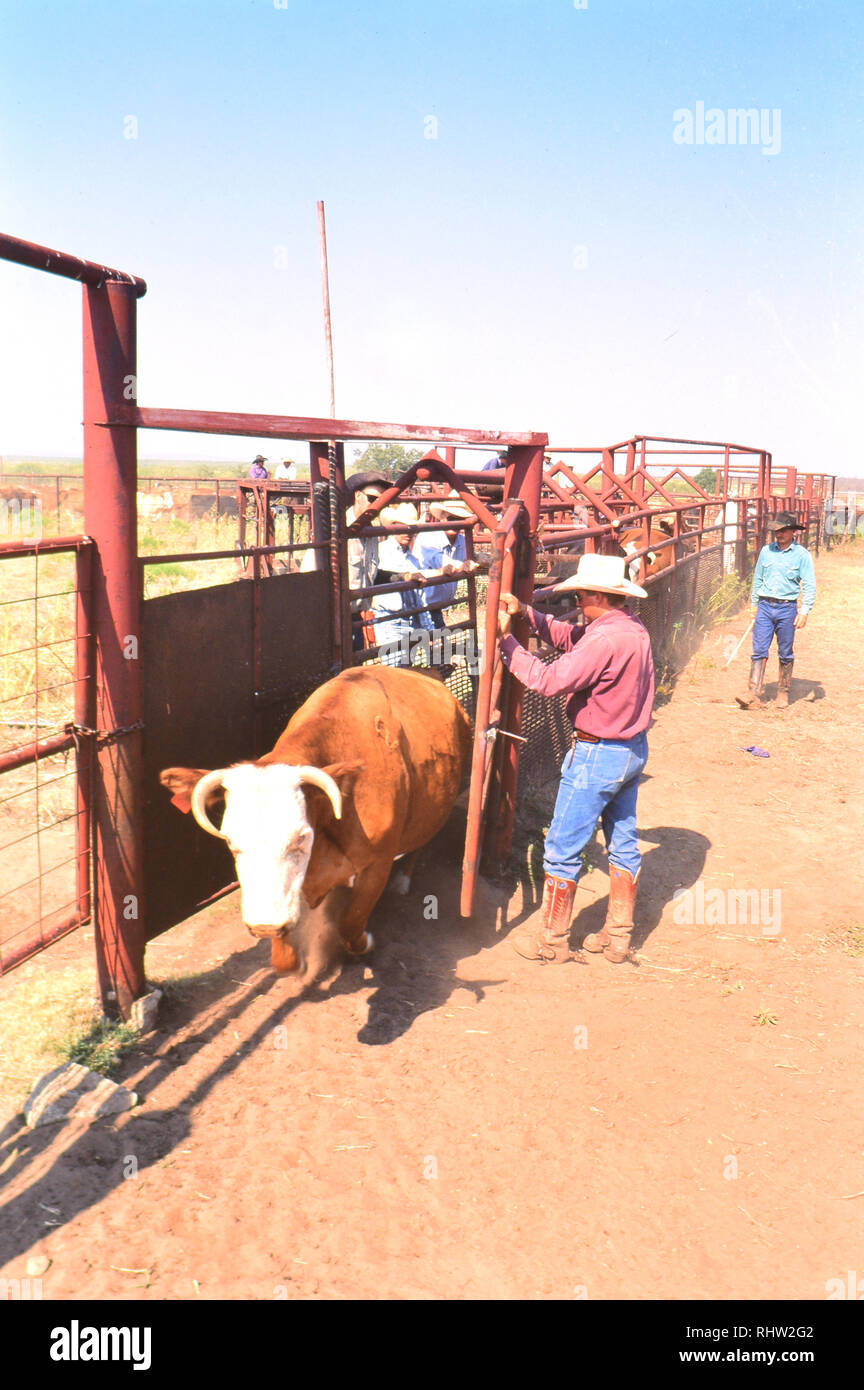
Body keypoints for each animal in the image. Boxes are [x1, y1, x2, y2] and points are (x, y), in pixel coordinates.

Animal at [160, 665, 471, 974]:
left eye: (301, 837)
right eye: (231, 842)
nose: (263, 925)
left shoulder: (378, 864)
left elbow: (351, 922)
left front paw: (365, 945)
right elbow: (283, 958)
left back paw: (403, 880)